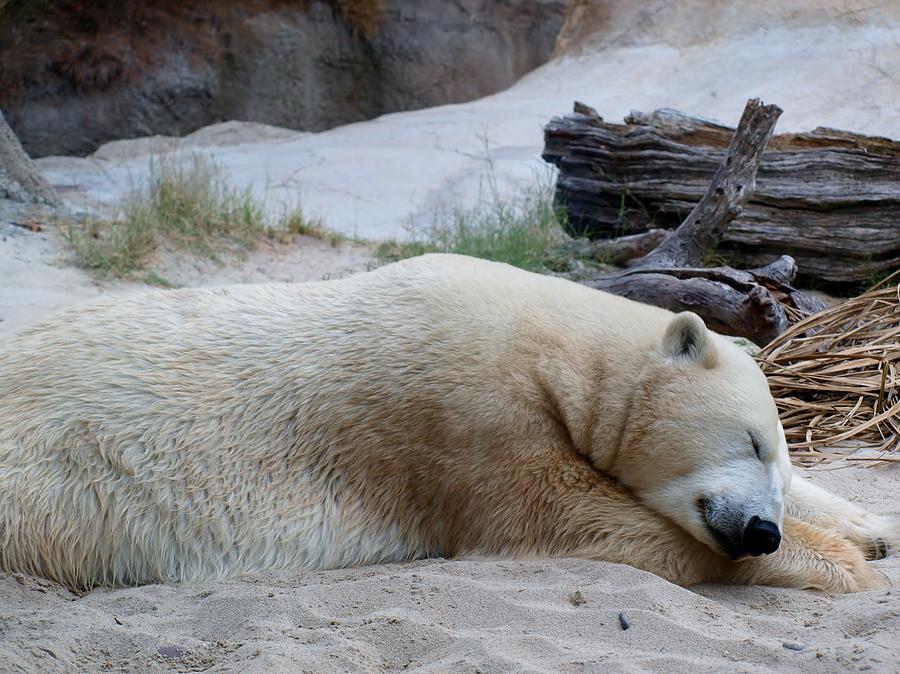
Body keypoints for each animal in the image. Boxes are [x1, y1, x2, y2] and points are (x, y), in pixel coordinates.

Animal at [0, 254, 895, 591]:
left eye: (776, 456)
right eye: (748, 438)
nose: (761, 530)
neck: (546, 345)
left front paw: (866, 527)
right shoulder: (464, 410)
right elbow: (568, 516)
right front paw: (842, 563)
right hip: (58, 480)